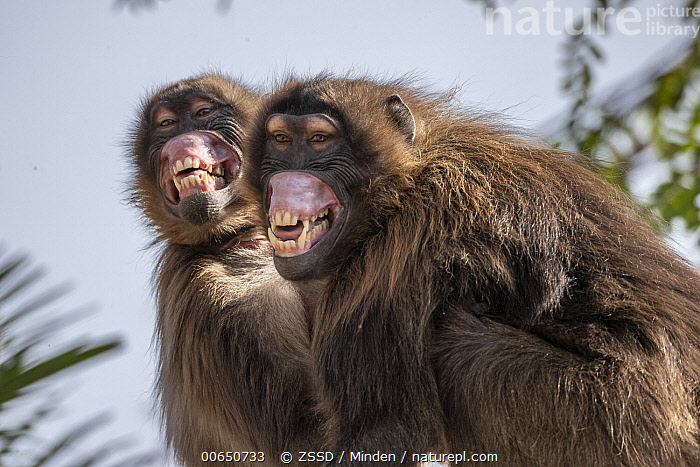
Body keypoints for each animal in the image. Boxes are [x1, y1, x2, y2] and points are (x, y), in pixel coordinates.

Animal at [247, 75, 700, 466]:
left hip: (612, 415)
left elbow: (385, 437)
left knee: (458, 347)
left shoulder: (391, 260)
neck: (408, 181)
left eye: (319, 140)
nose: (291, 167)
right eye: (281, 140)